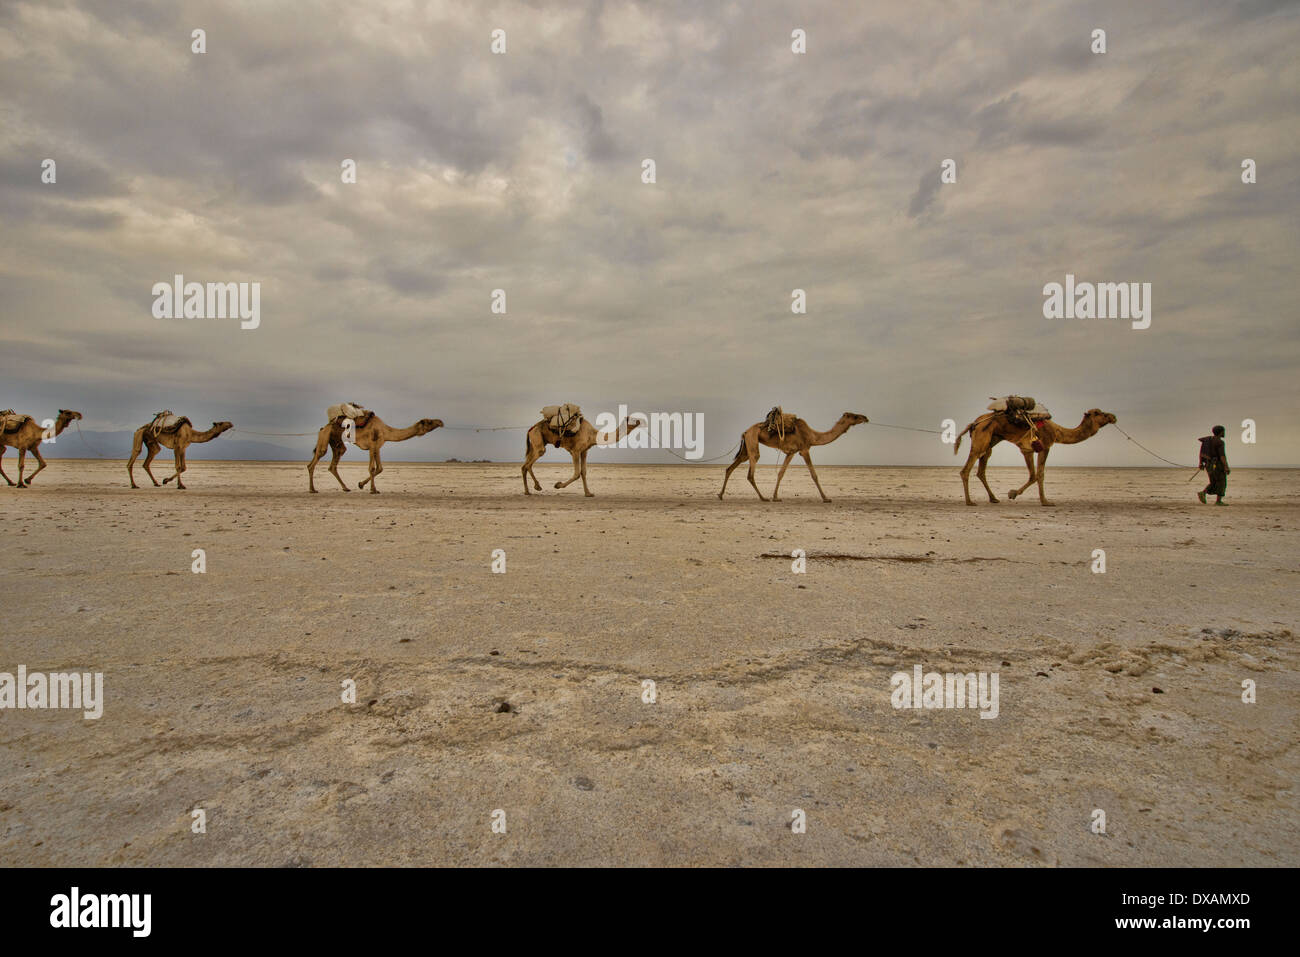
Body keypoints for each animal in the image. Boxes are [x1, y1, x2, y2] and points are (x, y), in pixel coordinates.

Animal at [307, 413, 443, 493]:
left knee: (333, 464)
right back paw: (312, 489)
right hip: (325, 437)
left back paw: (345, 488)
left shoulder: (378, 447)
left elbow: (380, 468)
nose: (441, 422)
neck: (385, 431)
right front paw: (373, 489)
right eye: (429, 422)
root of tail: (322, 428)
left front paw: (361, 485)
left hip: (337, 443)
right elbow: (372, 468)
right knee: (314, 461)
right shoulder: (372, 445)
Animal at [718, 411, 869, 502]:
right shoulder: (804, 450)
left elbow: (781, 473)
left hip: (746, 447)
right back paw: (763, 498)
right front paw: (826, 498)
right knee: (751, 469)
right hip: (753, 441)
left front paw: (776, 497)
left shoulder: (791, 452)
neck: (813, 436)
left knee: (731, 467)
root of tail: (745, 432)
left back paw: (720, 495)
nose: (865, 418)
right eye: (855, 416)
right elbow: (814, 475)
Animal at [954, 408, 1117, 506]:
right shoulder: (1039, 448)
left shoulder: (1030, 450)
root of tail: (974, 423)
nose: (1113, 417)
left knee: (982, 469)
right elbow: (1038, 475)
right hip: (981, 439)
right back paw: (970, 501)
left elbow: (1035, 475)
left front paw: (1014, 494)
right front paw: (1043, 501)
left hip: (991, 440)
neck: (1057, 431)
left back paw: (993, 498)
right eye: (1099, 413)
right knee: (966, 469)